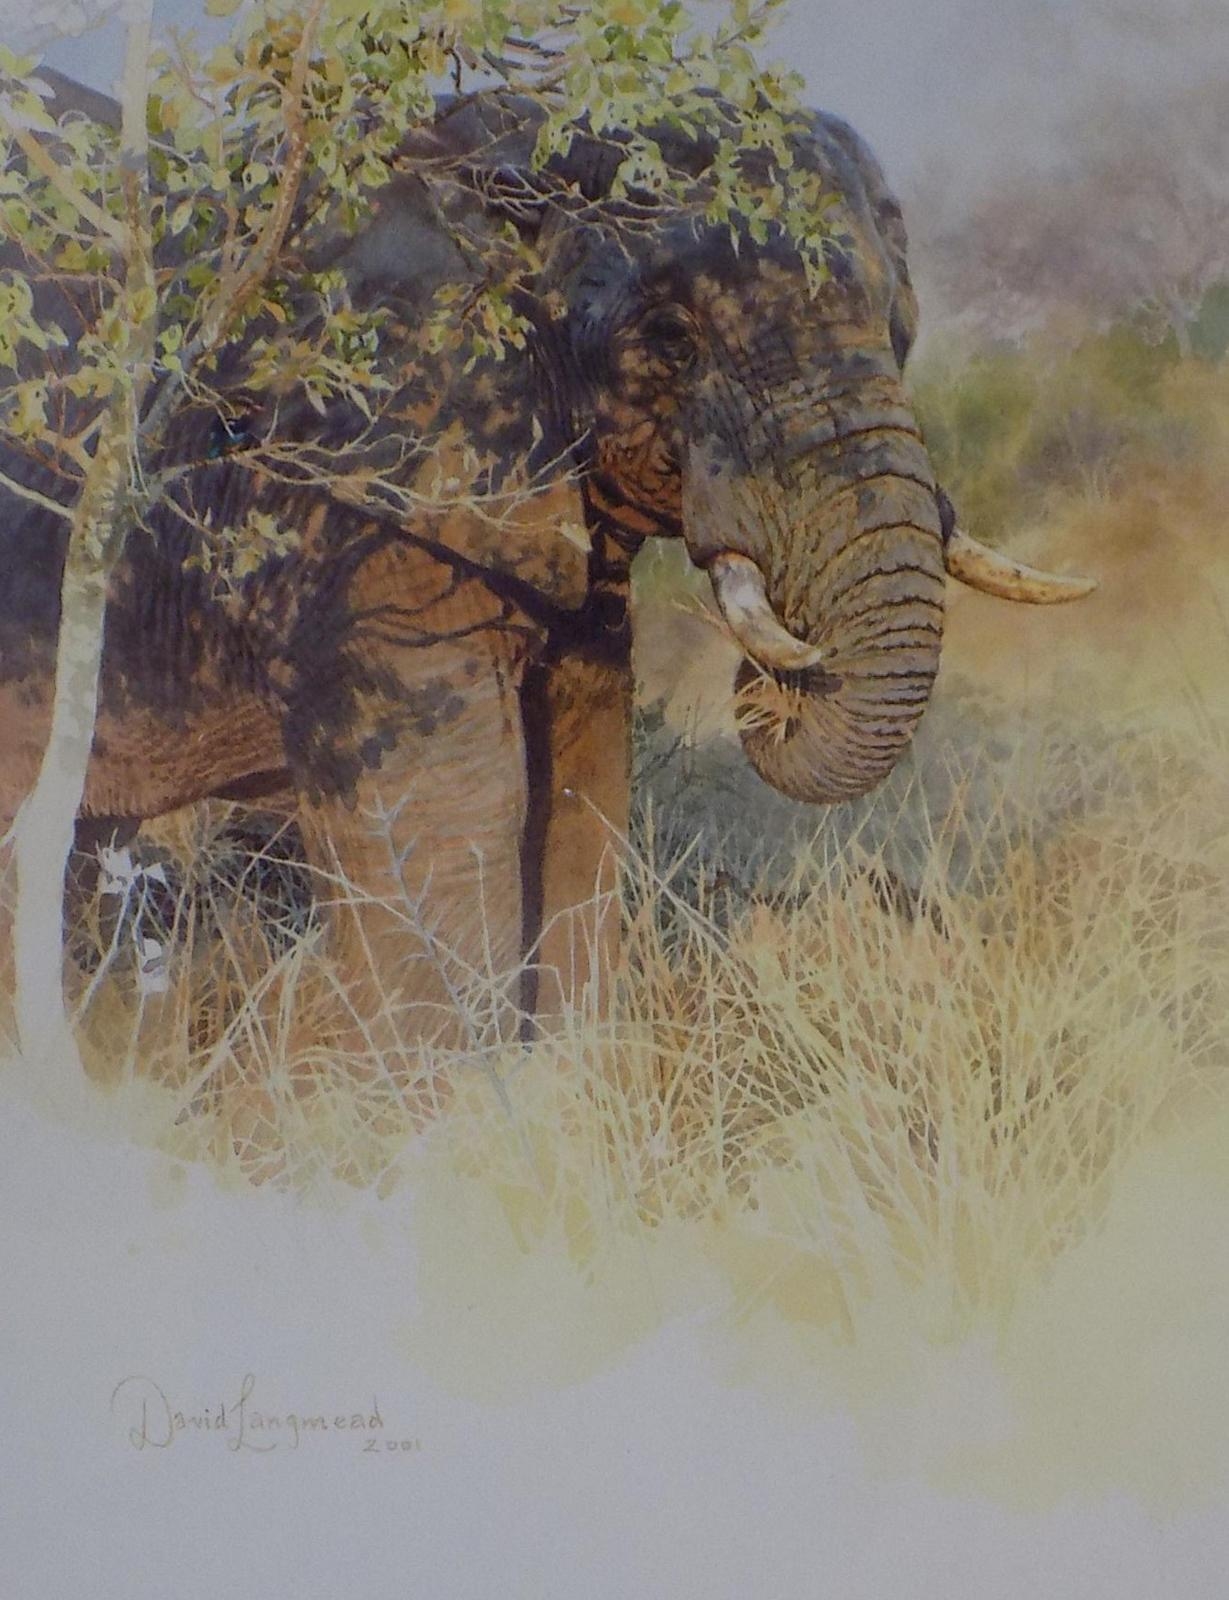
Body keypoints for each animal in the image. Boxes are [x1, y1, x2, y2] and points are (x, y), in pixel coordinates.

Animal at [0, 78, 1092, 1060]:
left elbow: (580, 777)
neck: (512, 146)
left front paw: (570, 1080)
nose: (779, 676)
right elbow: (458, 804)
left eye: (897, 322)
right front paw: (443, 1115)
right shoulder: (359, 511)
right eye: (669, 339)